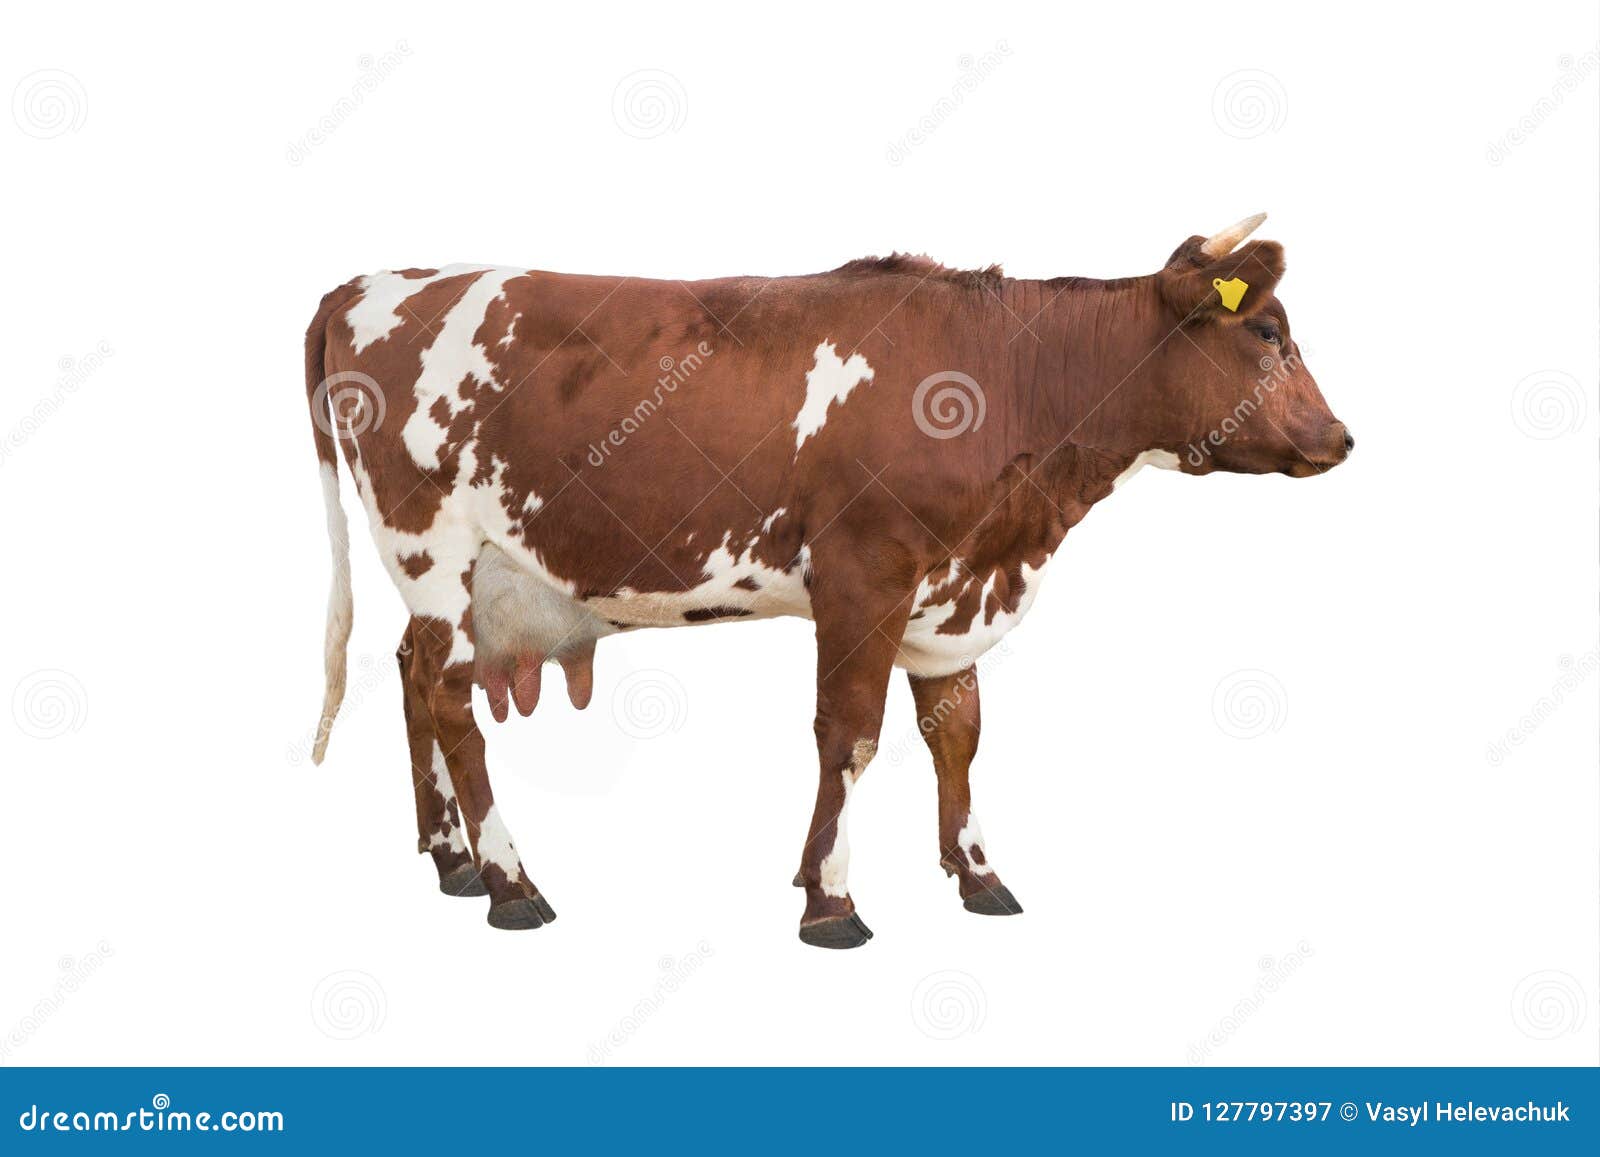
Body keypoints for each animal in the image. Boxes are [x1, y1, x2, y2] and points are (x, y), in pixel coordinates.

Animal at [304, 213, 1351, 948]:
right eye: (1267, 332)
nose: (1340, 438)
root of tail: (368, 282)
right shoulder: (863, 574)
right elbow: (850, 738)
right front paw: (832, 900)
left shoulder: (952, 586)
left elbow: (958, 735)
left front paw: (978, 874)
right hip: (432, 545)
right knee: (449, 701)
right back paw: (512, 883)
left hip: (454, 576)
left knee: (411, 674)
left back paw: (453, 860)